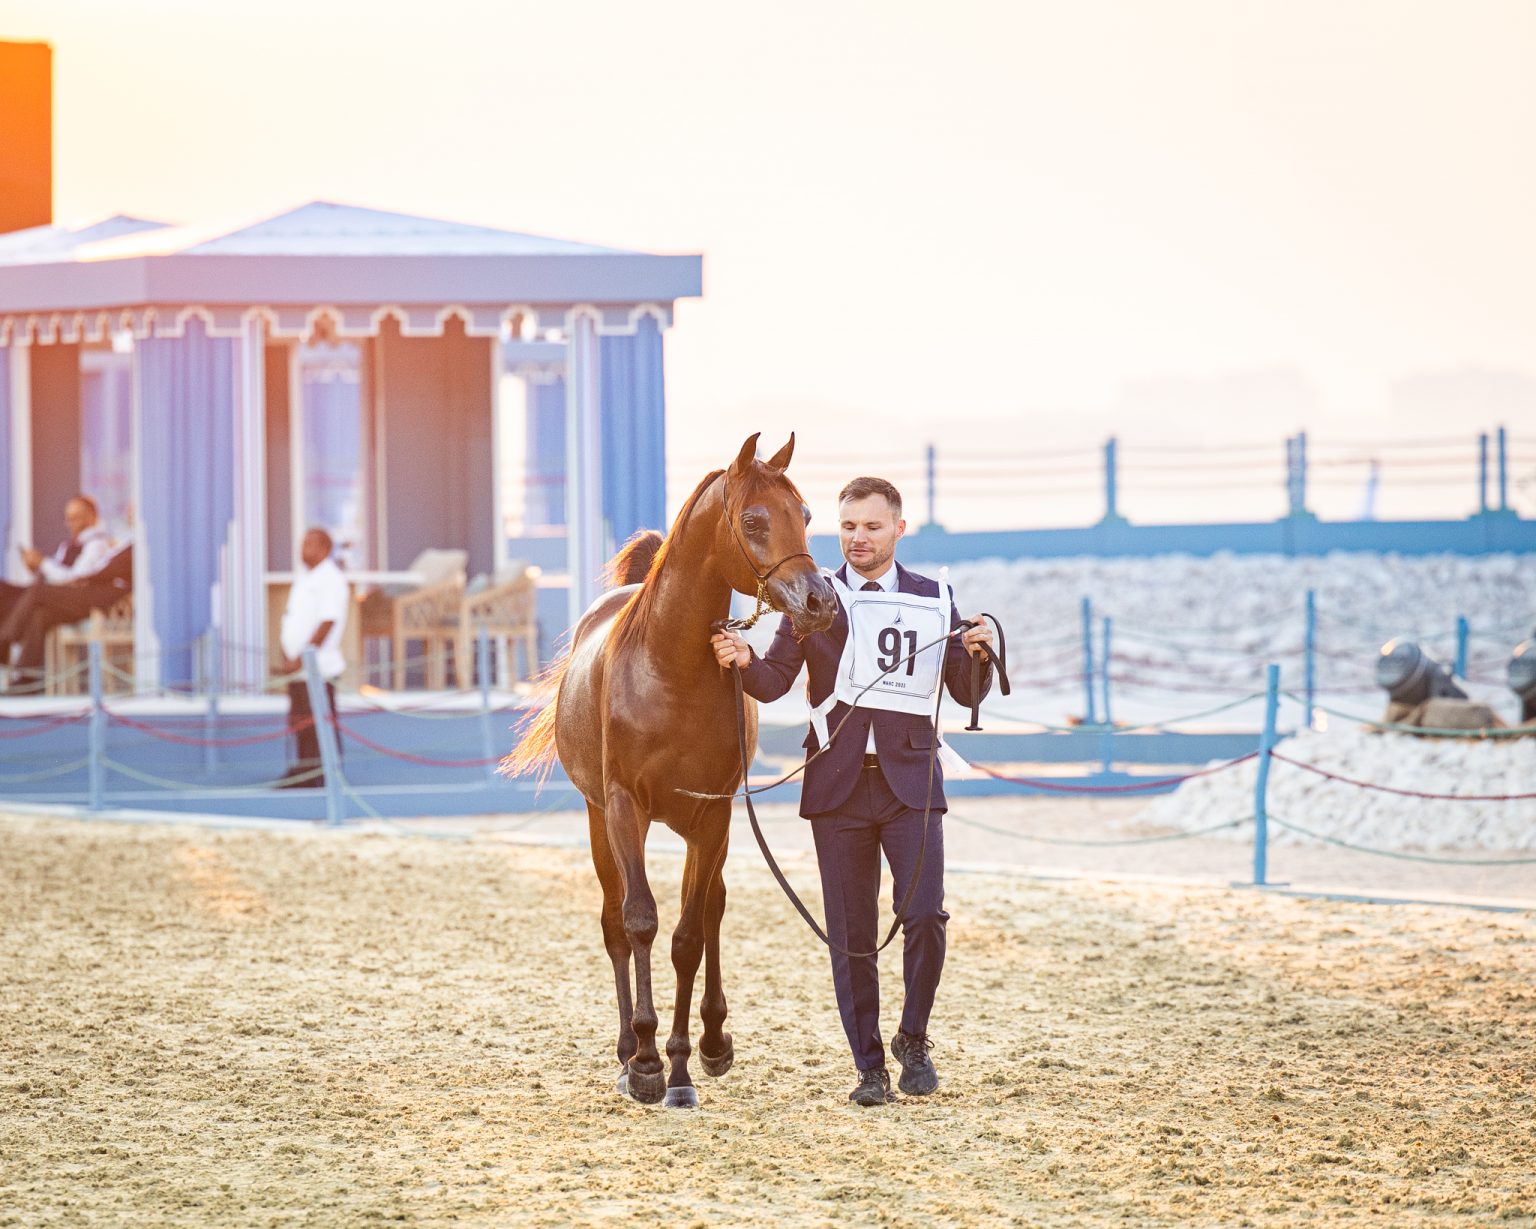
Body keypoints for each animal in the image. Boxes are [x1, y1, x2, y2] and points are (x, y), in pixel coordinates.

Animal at [502, 433, 835, 1107]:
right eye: (754, 521)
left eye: (807, 514)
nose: (818, 602)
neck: (670, 669)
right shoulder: (623, 808)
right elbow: (639, 922)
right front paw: (646, 1063)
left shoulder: (713, 815)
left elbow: (687, 936)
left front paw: (680, 1068)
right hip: (599, 820)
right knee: (614, 922)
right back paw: (626, 1049)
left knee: (711, 911)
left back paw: (711, 1042)